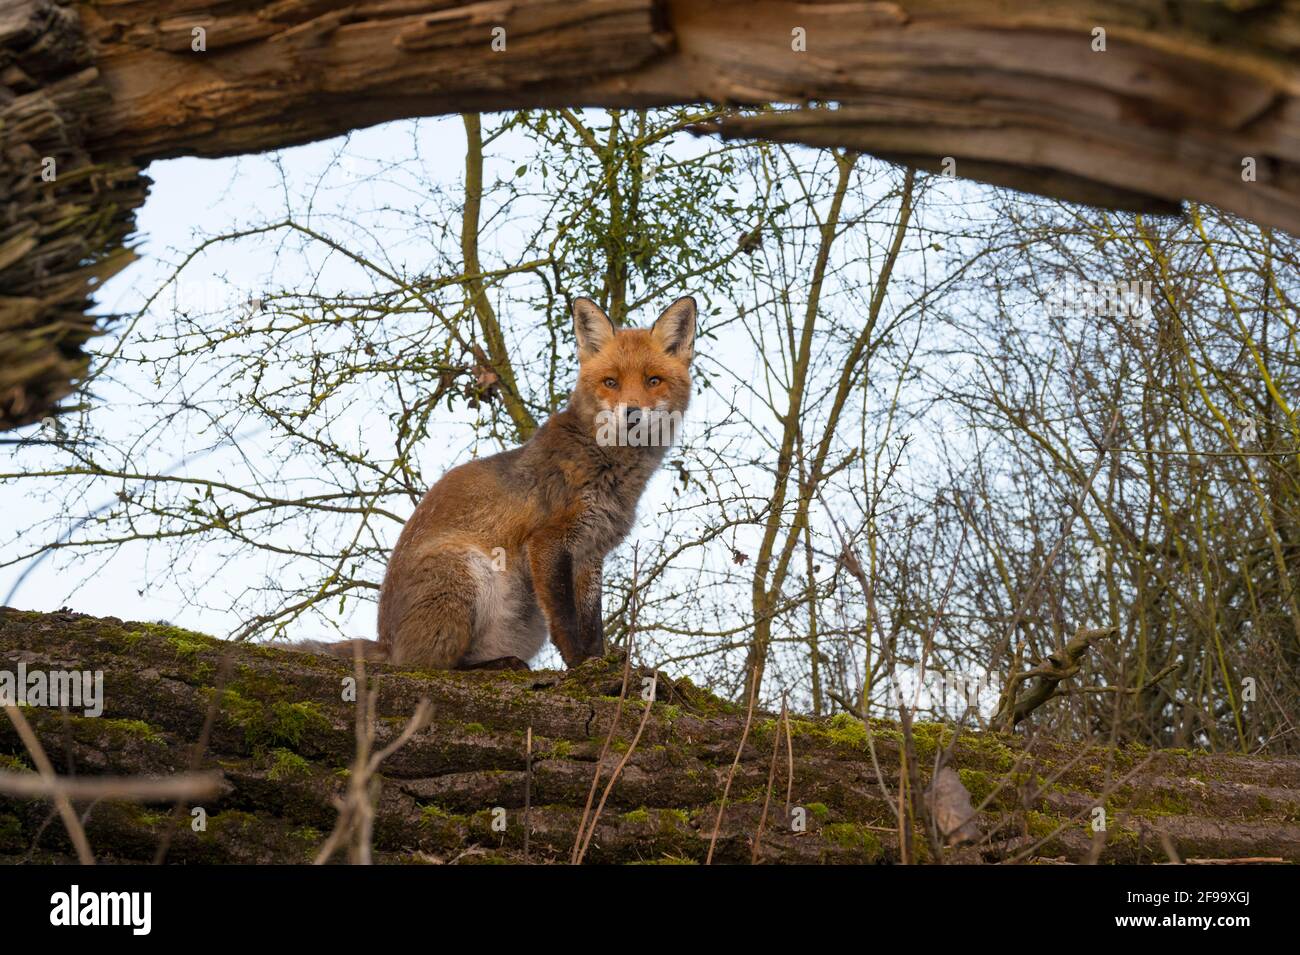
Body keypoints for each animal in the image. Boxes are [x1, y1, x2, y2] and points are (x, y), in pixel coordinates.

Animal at [304, 295, 696, 671]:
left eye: (653, 380)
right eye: (611, 382)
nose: (632, 414)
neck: (608, 466)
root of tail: (386, 643)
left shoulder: (590, 551)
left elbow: (591, 623)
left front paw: (601, 662)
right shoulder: (547, 541)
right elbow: (566, 622)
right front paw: (581, 667)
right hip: (468, 573)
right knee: (429, 665)